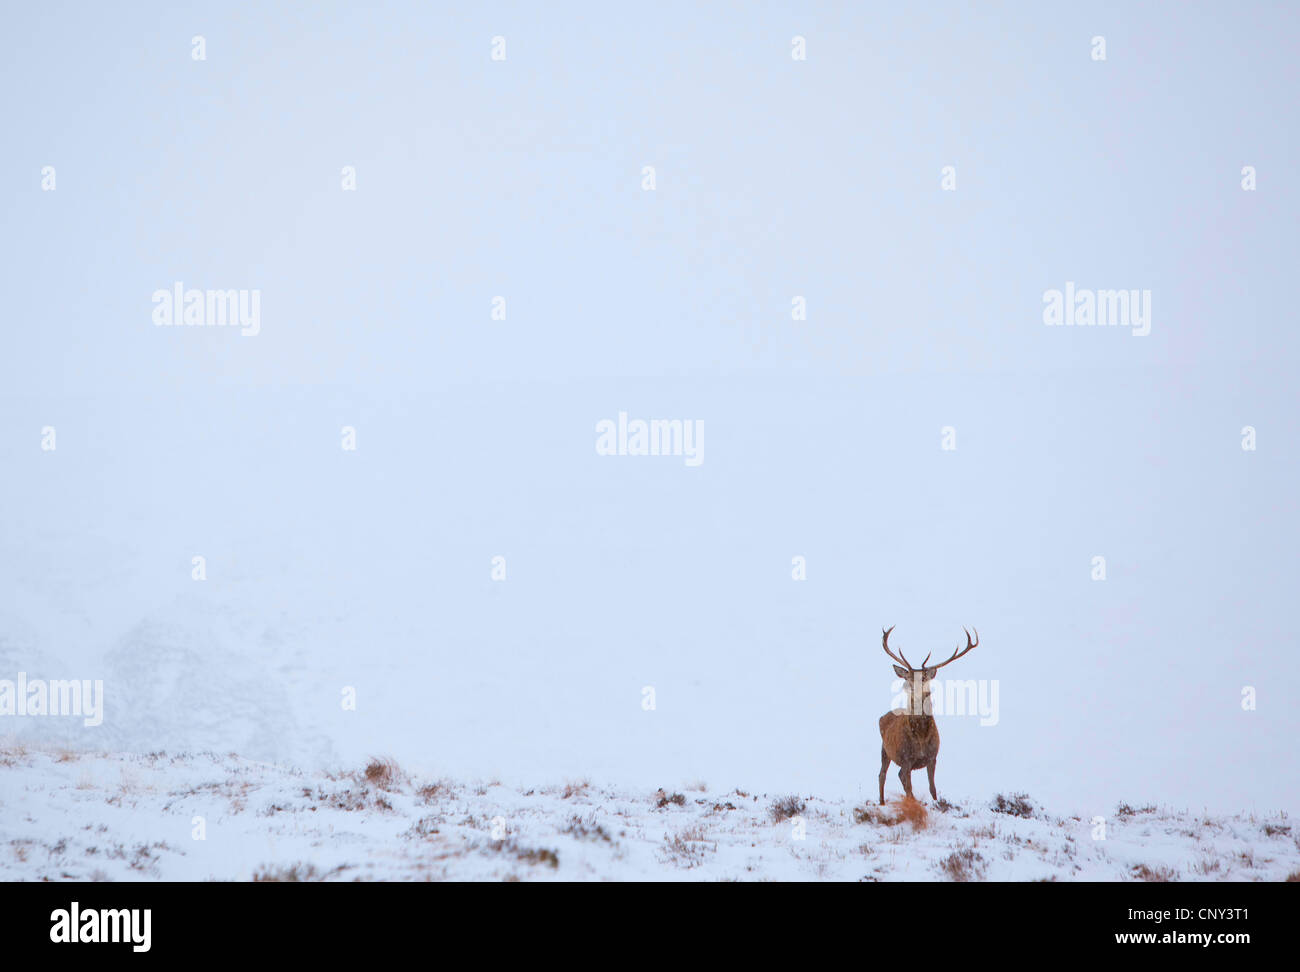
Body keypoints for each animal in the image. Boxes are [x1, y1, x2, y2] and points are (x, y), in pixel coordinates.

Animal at [877, 625, 978, 805]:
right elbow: (908, 787)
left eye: (923, 677)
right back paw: (881, 802)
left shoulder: (933, 756)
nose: (910, 687)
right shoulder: (905, 758)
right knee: (882, 775)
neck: (921, 738)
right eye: (908, 677)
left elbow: (933, 789)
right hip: (885, 749)